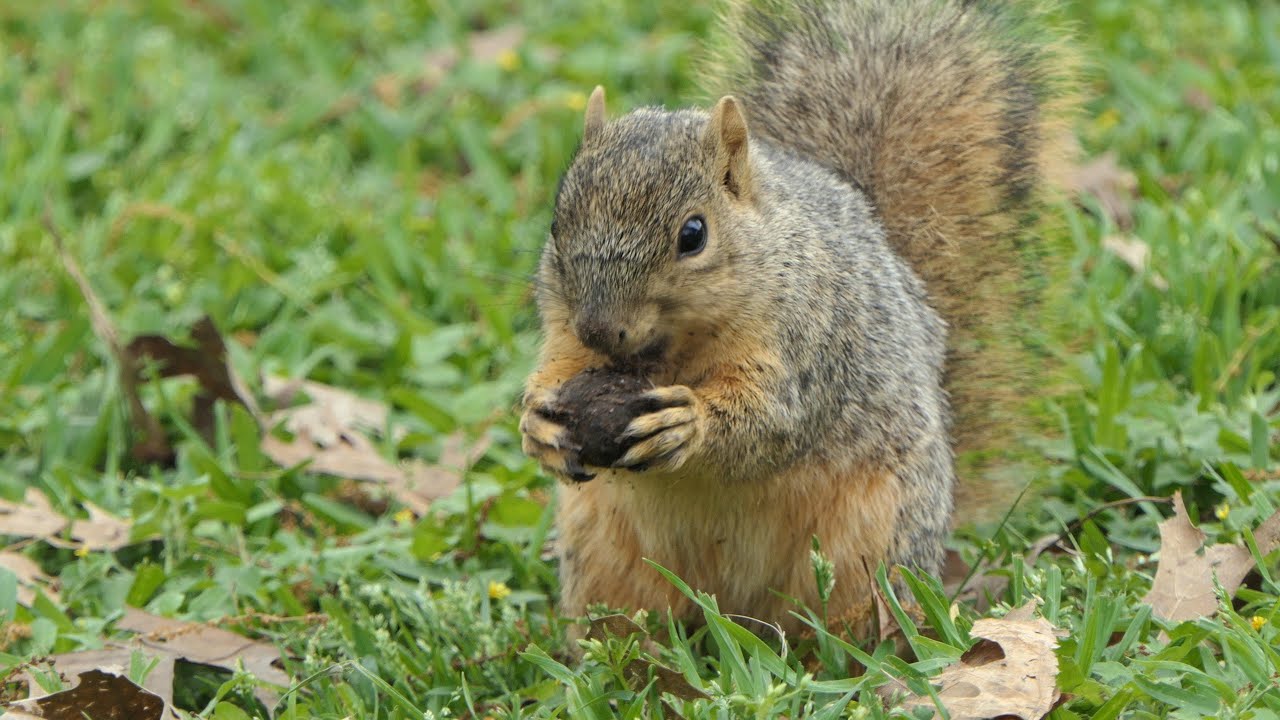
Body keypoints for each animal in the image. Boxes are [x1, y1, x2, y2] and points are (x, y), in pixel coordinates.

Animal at [520, 0, 1075, 640]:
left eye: (693, 234)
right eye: (557, 224)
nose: (599, 329)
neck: (670, 350)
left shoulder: (809, 340)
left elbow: (773, 419)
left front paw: (687, 423)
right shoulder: (565, 328)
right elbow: (556, 367)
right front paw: (537, 425)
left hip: (868, 544)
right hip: (606, 555)